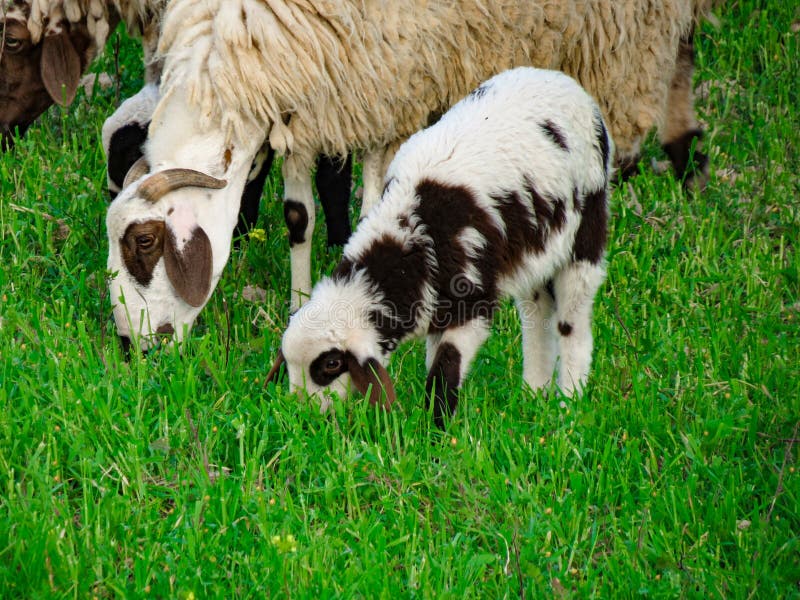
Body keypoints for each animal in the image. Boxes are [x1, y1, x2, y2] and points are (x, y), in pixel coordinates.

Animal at [105, 0, 711, 351]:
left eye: (144, 241)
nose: (130, 345)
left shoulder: (386, 90)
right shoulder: (303, 111)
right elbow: (298, 217)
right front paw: (298, 300)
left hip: (624, 38)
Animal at [268, 67, 613, 426]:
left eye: (332, 364)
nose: (306, 418)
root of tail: (557, 78)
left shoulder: (470, 303)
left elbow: (445, 369)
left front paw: (436, 429)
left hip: (586, 223)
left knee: (572, 322)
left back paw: (569, 403)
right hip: (534, 251)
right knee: (537, 314)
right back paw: (533, 393)